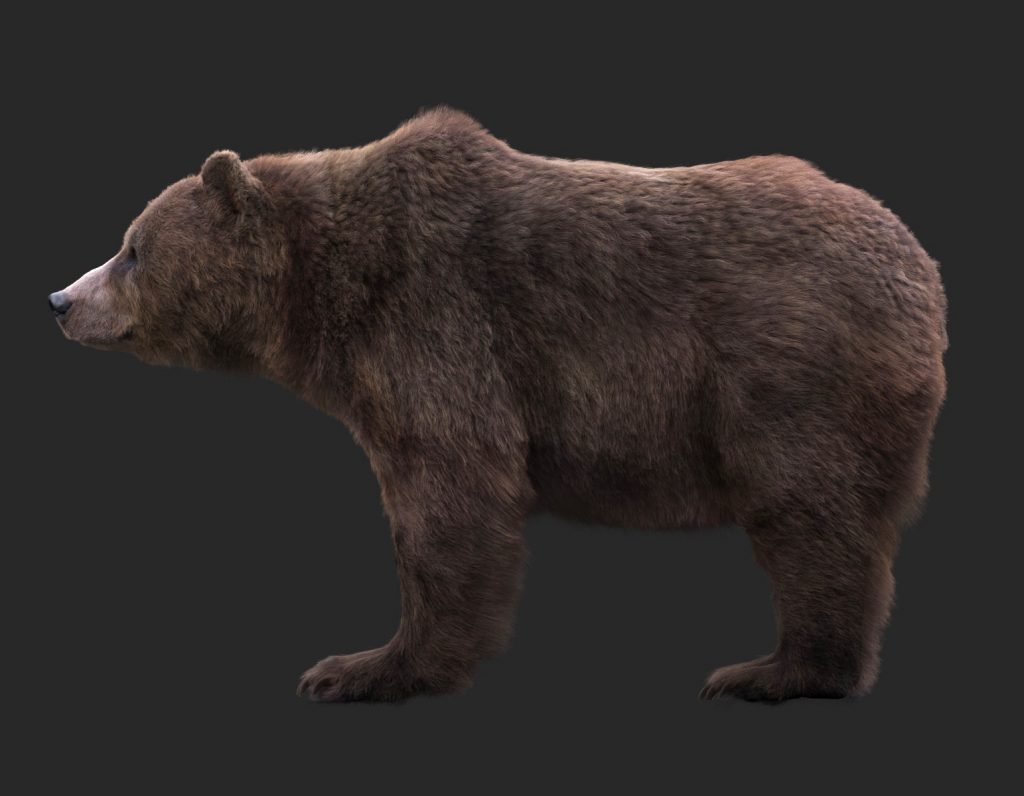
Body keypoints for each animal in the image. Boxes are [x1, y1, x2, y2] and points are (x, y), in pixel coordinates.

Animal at [49, 107, 947, 702]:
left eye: (132, 249)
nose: (61, 299)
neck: (326, 294)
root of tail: (923, 266)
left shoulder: (438, 319)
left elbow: (451, 487)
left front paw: (362, 667)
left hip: (793, 366)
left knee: (808, 510)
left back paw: (770, 670)